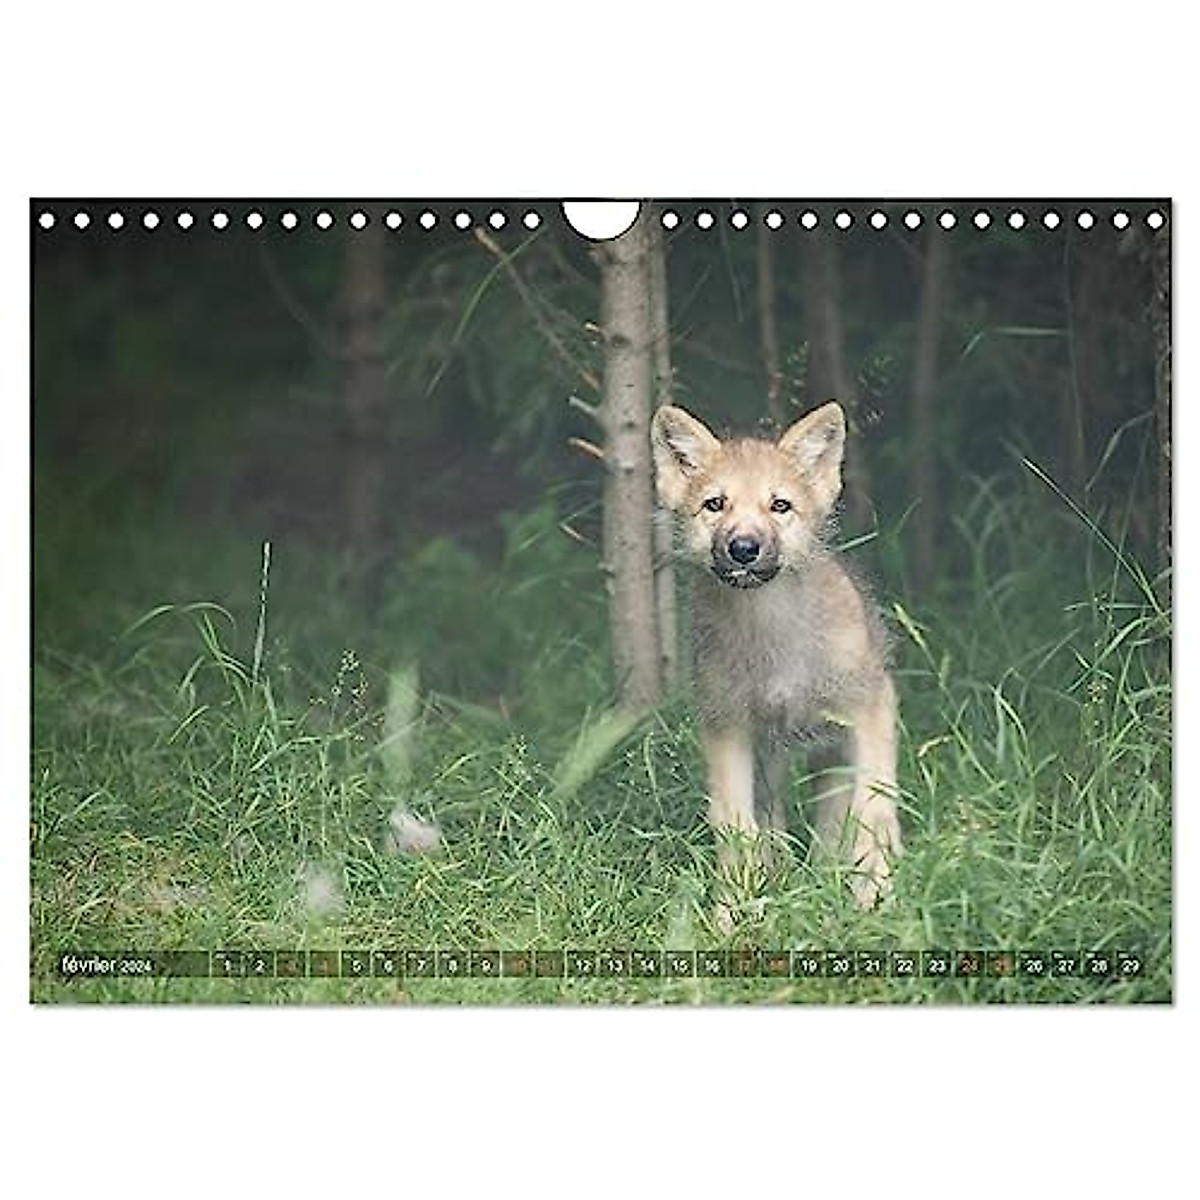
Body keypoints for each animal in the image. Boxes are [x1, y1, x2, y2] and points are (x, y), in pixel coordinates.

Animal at [651, 401, 901, 918]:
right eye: (715, 505)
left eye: (779, 505)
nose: (743, 549)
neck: (771, 637)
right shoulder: (727, 727)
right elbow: (735, 826)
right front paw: (733, 915)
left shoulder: (871, 706)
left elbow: (873, 809)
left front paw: (874, 898)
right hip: (773, 757)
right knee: (776, 826)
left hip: (832, 746)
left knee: (834, 822)